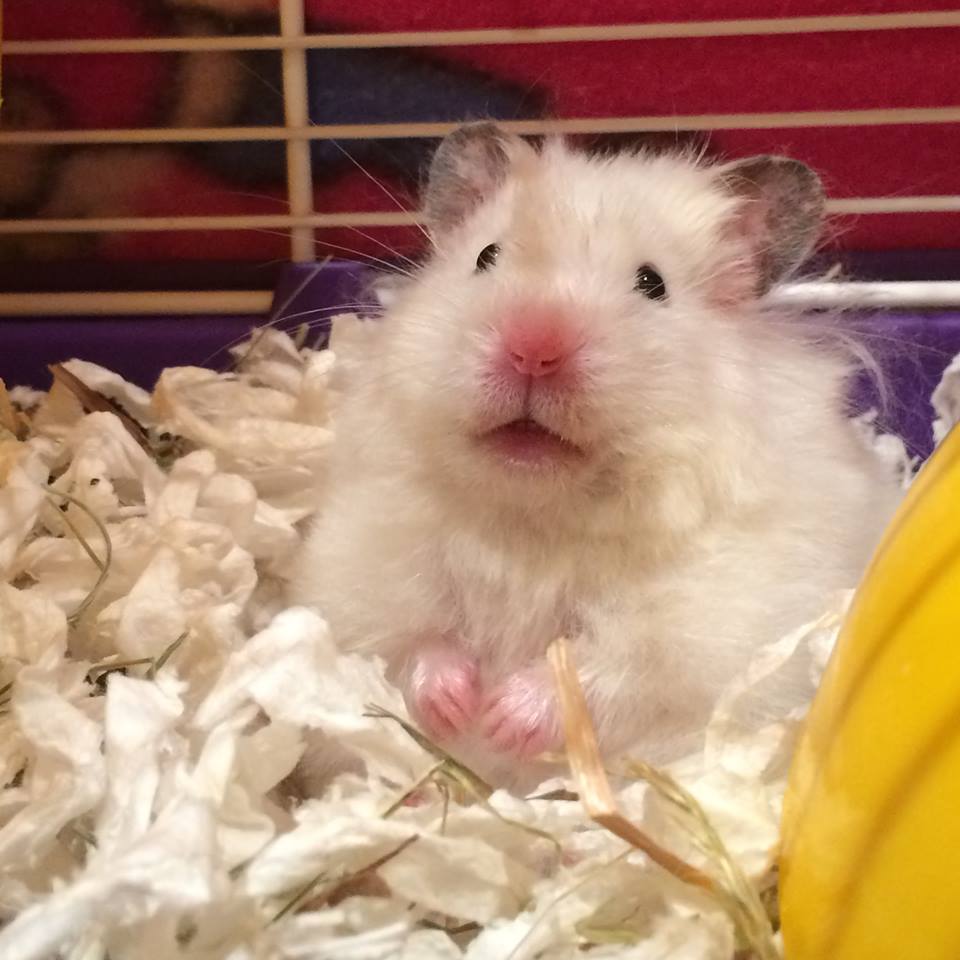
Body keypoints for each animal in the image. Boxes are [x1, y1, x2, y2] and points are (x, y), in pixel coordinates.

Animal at [289, 123, 902, 790]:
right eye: (486, 257)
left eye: (652, 283)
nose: (533, 348)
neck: (535, 512)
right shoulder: (369, 575)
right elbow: (412, 643)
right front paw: (456, 708)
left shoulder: (699, 628)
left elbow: (607, 670)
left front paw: (505, 718)